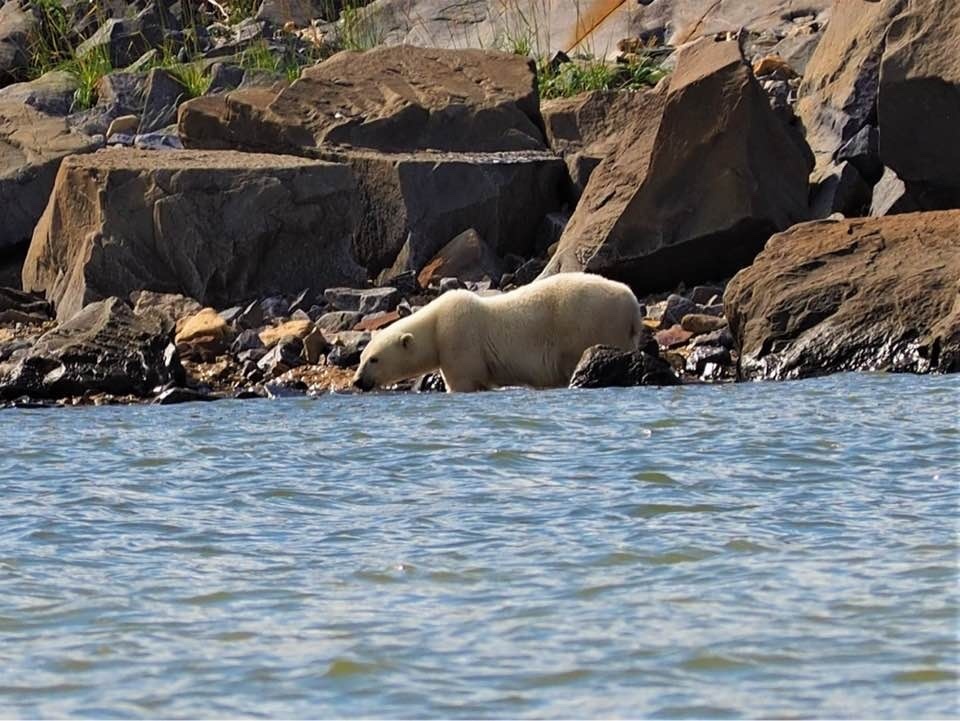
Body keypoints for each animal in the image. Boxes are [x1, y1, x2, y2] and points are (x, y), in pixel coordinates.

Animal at [352, 272, 644, 393]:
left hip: (589, 324)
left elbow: (462, 382)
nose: (357, 381)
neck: (435, 325)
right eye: (361, 357)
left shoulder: (459, 340)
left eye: (374, 359)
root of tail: (632, 304)